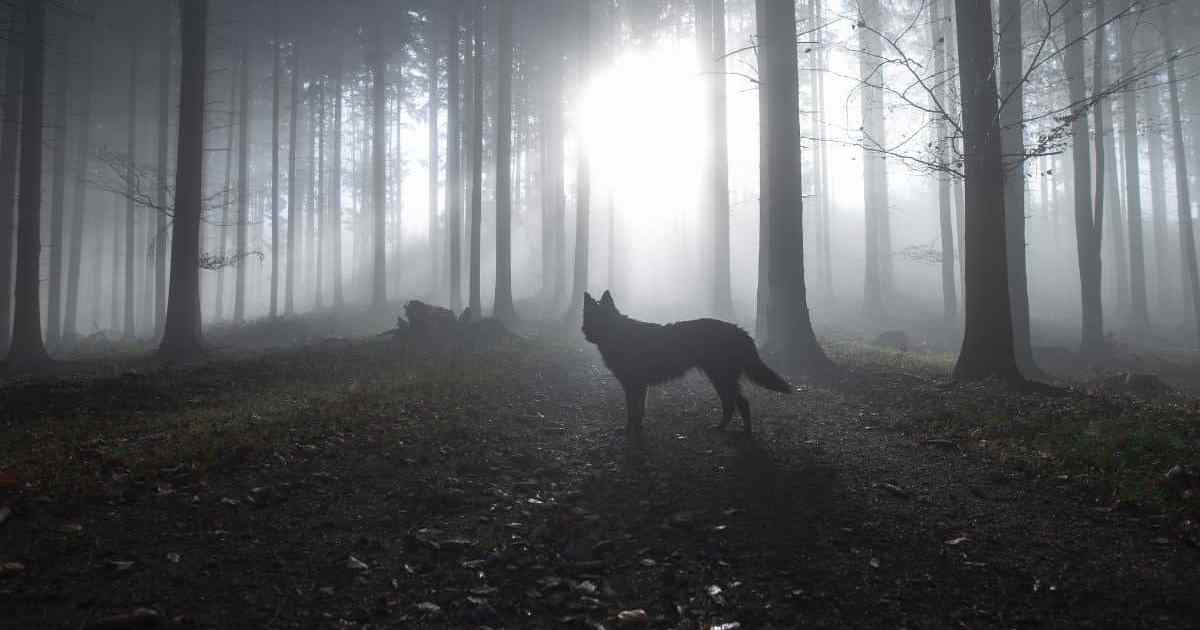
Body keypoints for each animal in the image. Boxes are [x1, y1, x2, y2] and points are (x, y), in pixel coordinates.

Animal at [582, 290, 791, 434]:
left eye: (600, 319)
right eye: (590, 317)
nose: (586, 333)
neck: (619, 334)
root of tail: (739, 330)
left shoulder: (634, 385)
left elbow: (633, 411)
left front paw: (629, 430)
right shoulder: (639, 386)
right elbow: (639, 410)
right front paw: (637, 428)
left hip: (720, 377)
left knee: (740, 402)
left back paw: (742, 431)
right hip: (719, 378)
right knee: (732, 403)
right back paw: (723, 427)